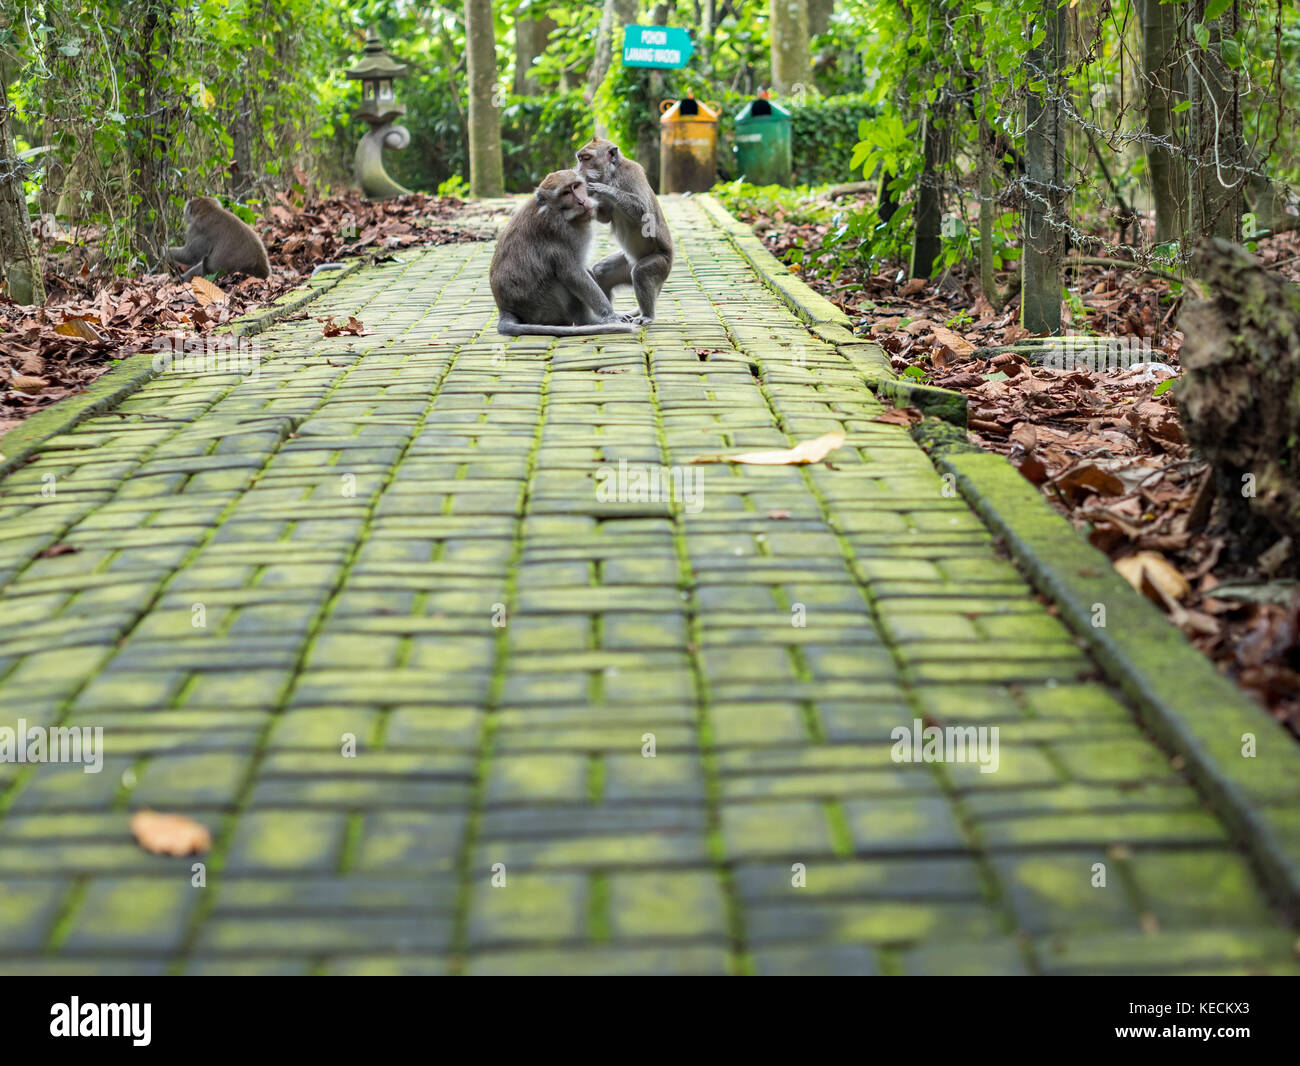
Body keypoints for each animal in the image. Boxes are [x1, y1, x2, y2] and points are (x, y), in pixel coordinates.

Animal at [489, 169, 637, 337]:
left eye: (576, 186)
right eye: (566, 193)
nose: (582, 201)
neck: (559, 212)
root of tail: (505, 309)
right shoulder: (561, 233)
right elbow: (572, 274)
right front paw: (611, 316)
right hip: (543, 309)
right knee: (563, 279)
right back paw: (590, 321)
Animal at [575, 137, 673, 326]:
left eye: (586, 158)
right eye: (580, 159)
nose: (577, 170)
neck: (612, 174)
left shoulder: (631, 174)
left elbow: (643, 211)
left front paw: (605, 189)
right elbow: (605, 217)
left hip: (661, 263)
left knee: (641, 272)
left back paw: (647, 315)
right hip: (627, 264)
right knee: (602, 271)